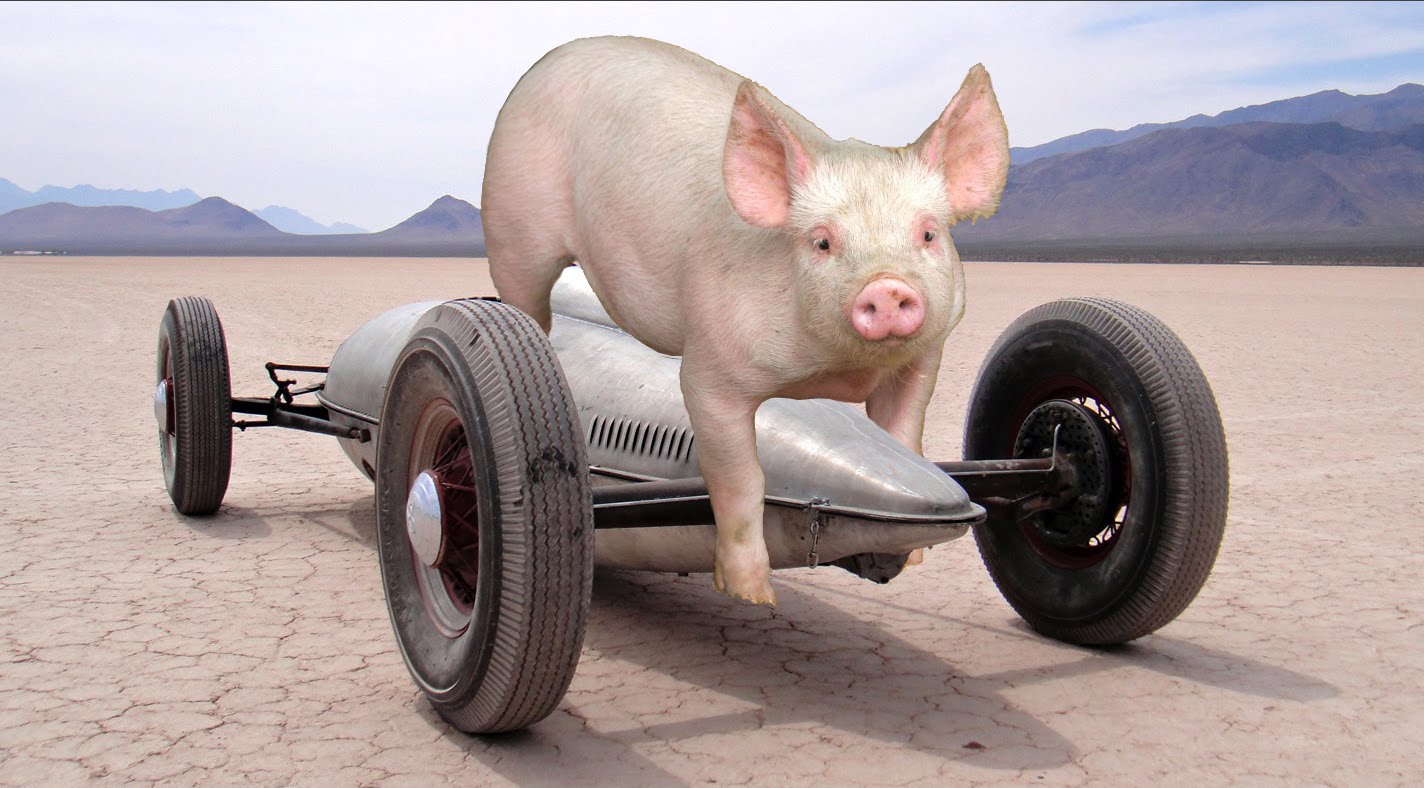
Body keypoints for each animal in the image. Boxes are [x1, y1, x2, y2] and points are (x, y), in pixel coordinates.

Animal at [482, 36, 1009, 605]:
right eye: (822, 241)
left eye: (929, 234)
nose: (887, 287)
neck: (837, 372)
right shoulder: (711, 366)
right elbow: (740, 476)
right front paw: (751, 595)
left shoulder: (923, 359)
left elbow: (904, 435)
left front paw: (911, 556)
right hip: (514, 227)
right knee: (526, 304)